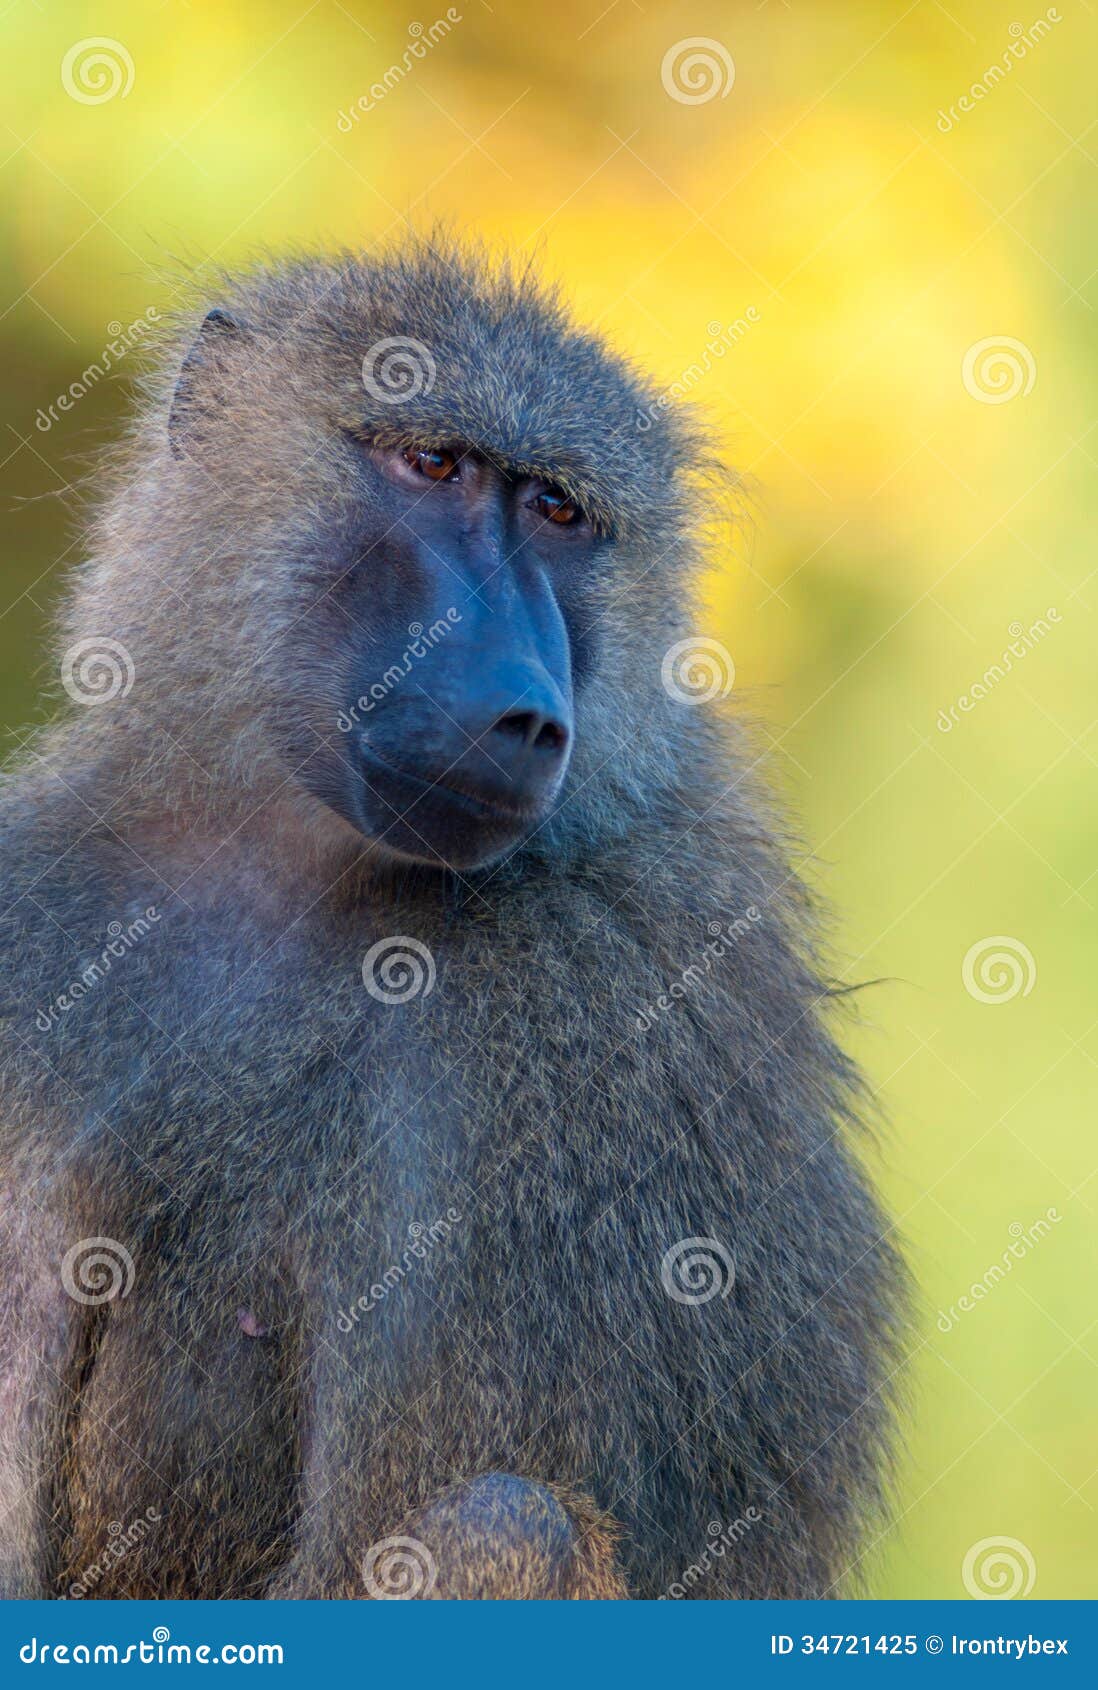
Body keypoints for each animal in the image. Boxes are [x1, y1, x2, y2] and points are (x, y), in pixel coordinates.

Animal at [0, 239, 907, 1601]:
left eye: (560, 512)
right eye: (434, 465)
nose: (520, 708)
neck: (291, 869)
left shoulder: (565, 1029)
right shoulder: (41, 917)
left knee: (505, 1515)